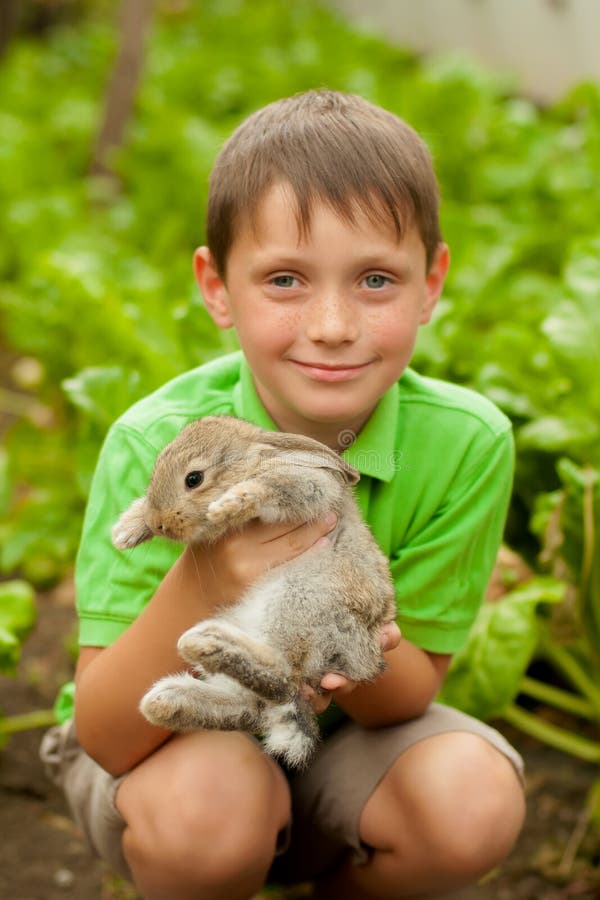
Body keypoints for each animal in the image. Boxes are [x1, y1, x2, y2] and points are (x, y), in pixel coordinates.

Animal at [112, 415, 397, 768]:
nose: (159, 523)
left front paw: (229, 505)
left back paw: (203, 643)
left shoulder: (310, 486)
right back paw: (166, 698)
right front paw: (125, 529)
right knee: (250, 707)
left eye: (194, 479)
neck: (252, 462)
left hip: (300, 599)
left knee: (283, 679)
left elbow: (271, 487)